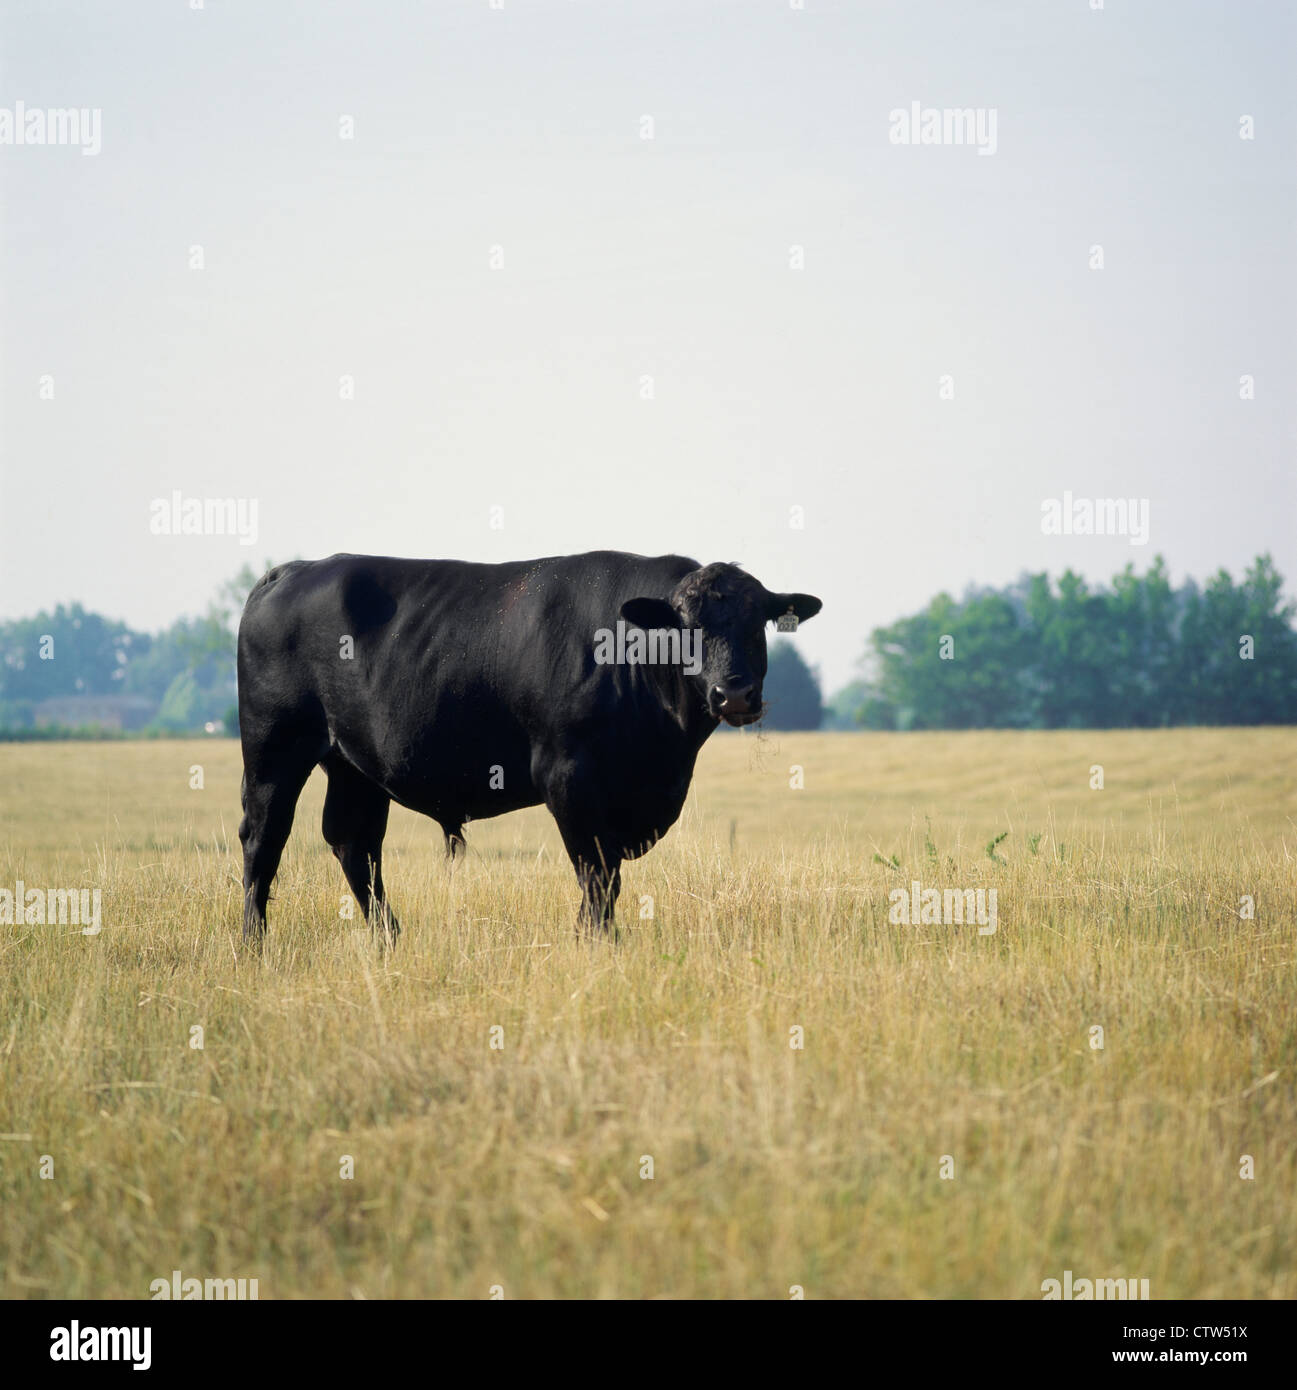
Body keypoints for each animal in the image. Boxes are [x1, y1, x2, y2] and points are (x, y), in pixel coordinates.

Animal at [236, 550, 821, 942]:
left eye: (758, 623)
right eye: (687, 628)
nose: (735, 693)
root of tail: (292, 570)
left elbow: (607, 876)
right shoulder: (568, 779)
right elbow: (597, 876)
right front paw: (597, 943)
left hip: (353, 764)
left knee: (354, 843)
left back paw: (390, 939)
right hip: (274, 745)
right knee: (264, 838)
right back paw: (253, 944)